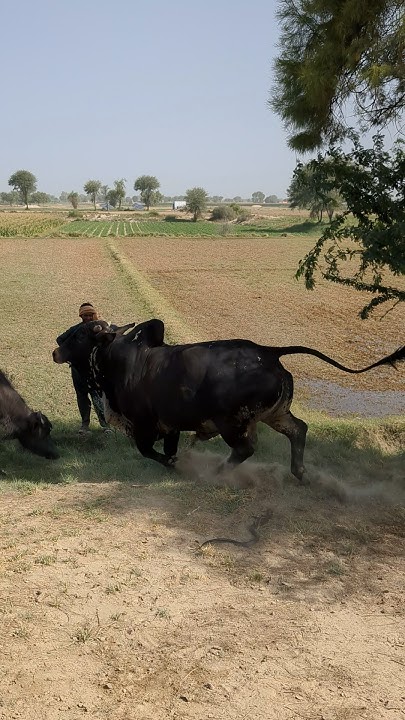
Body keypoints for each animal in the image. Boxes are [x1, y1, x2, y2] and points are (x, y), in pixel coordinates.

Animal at [52, 319, 404, 483]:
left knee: (246, 449)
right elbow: (168, 450)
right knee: (298, 430)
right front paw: (176, 462)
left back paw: (218, 472)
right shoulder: (171, 426)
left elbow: (150, 452)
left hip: (232, 423)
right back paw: (300, 473)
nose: (56, 347)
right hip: (275, 414)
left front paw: (177, 466)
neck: (119, 361)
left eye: (80, 335)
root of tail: (270, 353)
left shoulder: (144, 426)